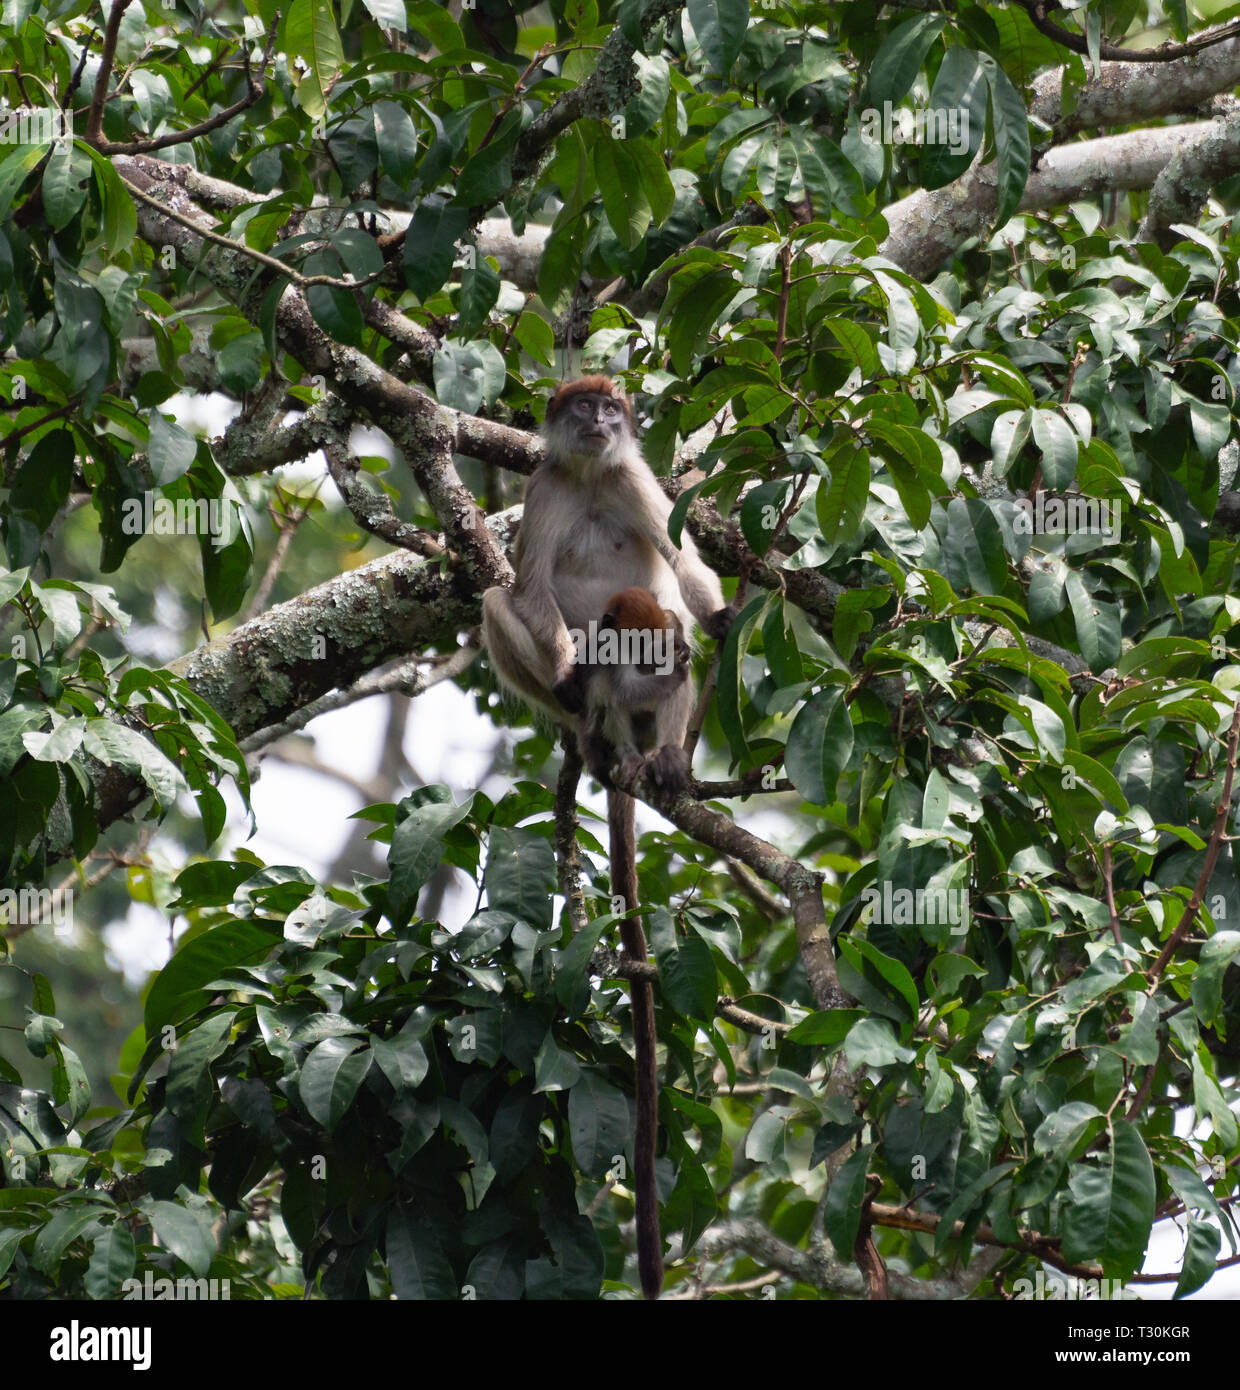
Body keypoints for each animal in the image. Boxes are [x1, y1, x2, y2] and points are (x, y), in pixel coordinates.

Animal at [481, 376, 736, 1298]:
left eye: (610, 411)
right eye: (581, 409)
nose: (596, 422)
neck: (591, 480)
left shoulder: (630, 478)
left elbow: (684, 562)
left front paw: (724, 616)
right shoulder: (548, 487)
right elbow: (524, 593)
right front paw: (567, 670)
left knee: (676, 636)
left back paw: (658, 755)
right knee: (499, 603)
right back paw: (585, 727)